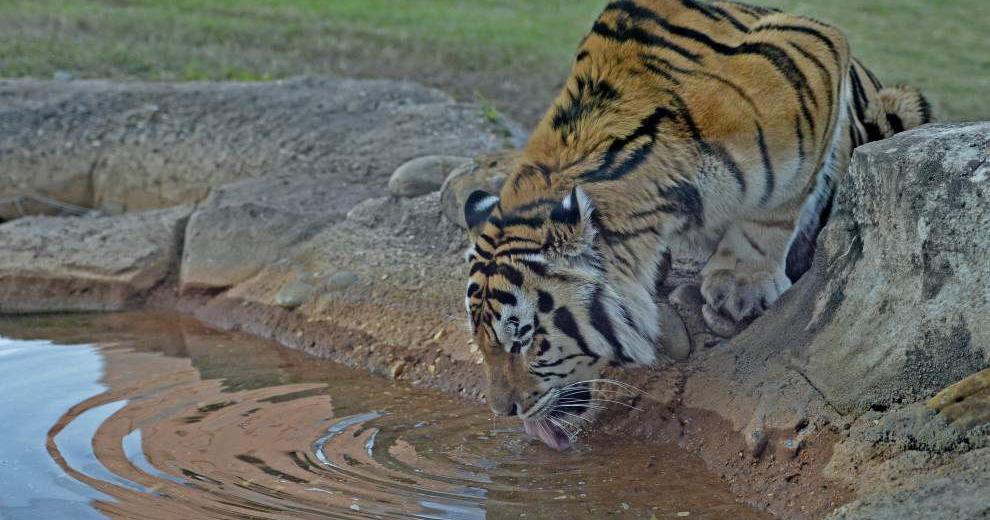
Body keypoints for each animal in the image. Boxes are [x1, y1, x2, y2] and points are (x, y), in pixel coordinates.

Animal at [461, 0, 932, 450]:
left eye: (525, 341)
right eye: (481, 340)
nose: (503, 411)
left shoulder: (812, 47)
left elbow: (775, 209)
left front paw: (739, 286)